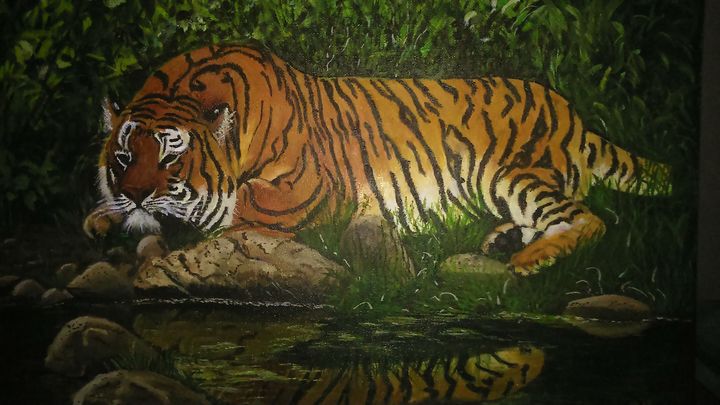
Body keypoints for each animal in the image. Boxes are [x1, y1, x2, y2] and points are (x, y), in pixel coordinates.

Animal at [83, 44, 670, 275]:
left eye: (171, 159)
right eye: (123, 157)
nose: (135, 194)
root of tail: (574, 113)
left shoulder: (299, 197)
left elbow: (234, 219)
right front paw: (101, 220)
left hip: (509, 174)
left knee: (588, 218)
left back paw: (526, 260)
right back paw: (501, 242)